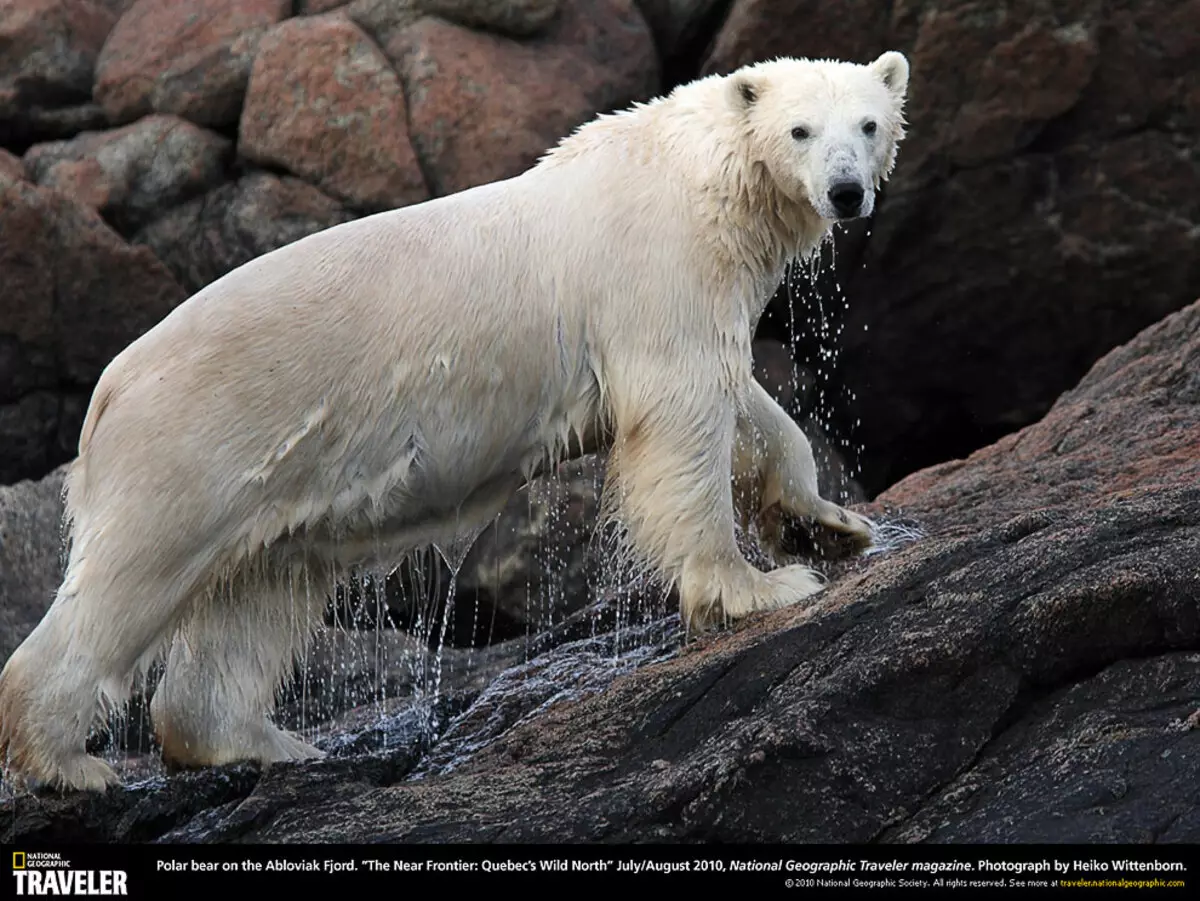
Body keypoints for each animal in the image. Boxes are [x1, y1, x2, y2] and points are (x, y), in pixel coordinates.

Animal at [0, 52, 907, 791]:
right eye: (799, 129)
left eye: (868, 124)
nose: (846, 191)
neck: (695, 177)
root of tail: (107, 391)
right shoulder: (654, 269)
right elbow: (679, 418)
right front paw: (755, 587)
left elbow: (746, 406)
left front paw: (828, 525)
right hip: (192, 440)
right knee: (127, 582)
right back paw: (67, 760)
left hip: (277, 471)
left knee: (259, 594)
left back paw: (263, 741)